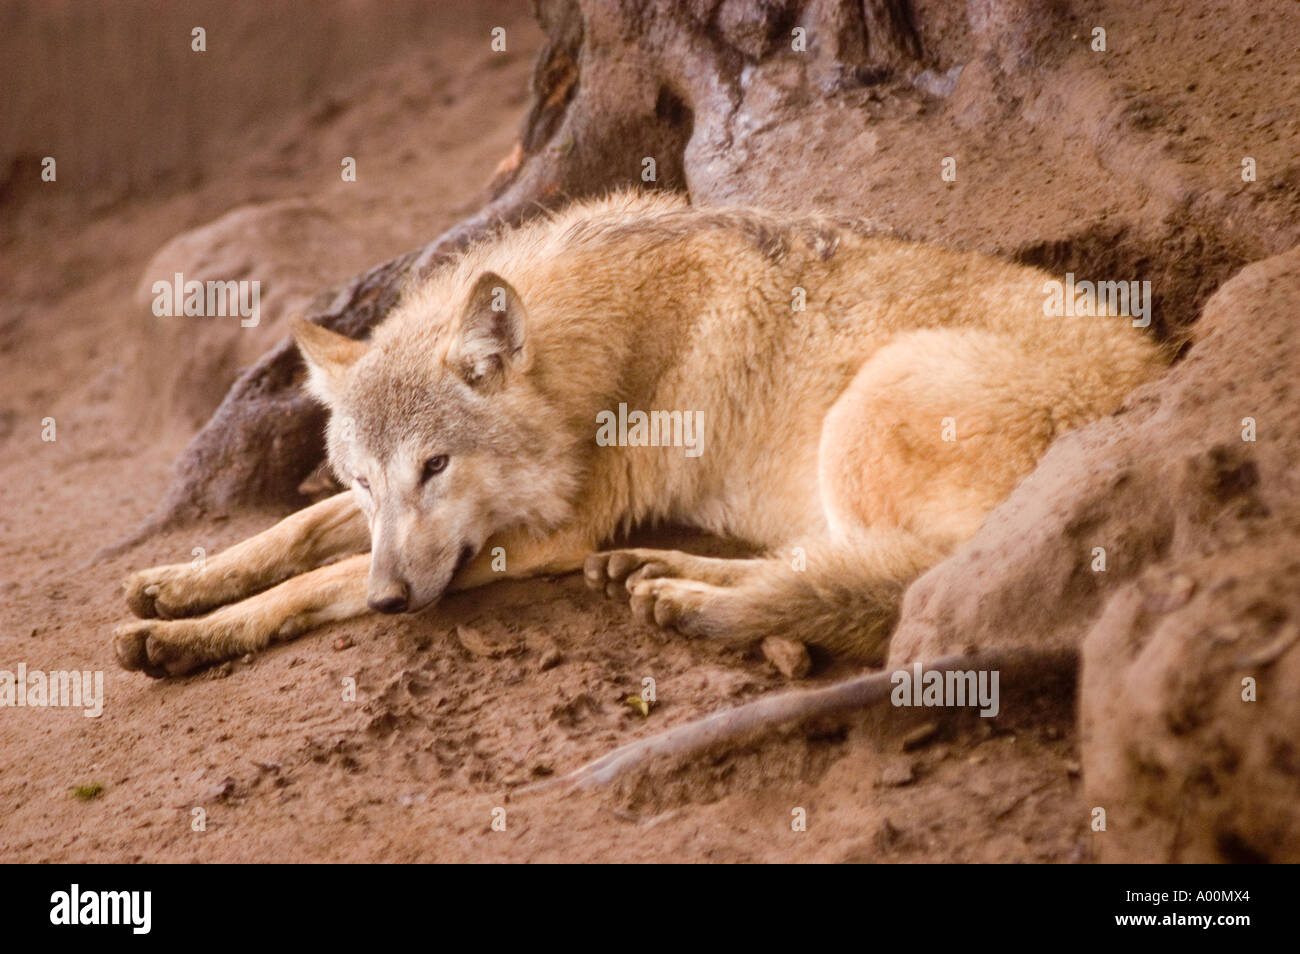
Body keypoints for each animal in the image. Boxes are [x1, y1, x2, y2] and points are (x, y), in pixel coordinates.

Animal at [113, 190, 1167, 679]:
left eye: (435, 466)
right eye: (366, 480)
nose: (390, 605)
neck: (600, 350)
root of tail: (1157, 384)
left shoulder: (544, 535)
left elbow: (314, 582)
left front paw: (190, 638)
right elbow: (293, 533)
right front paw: (175, 586)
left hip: (870, 406)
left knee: (896, 585)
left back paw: (701, 604)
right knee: (830, 571)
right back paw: (665, 580)